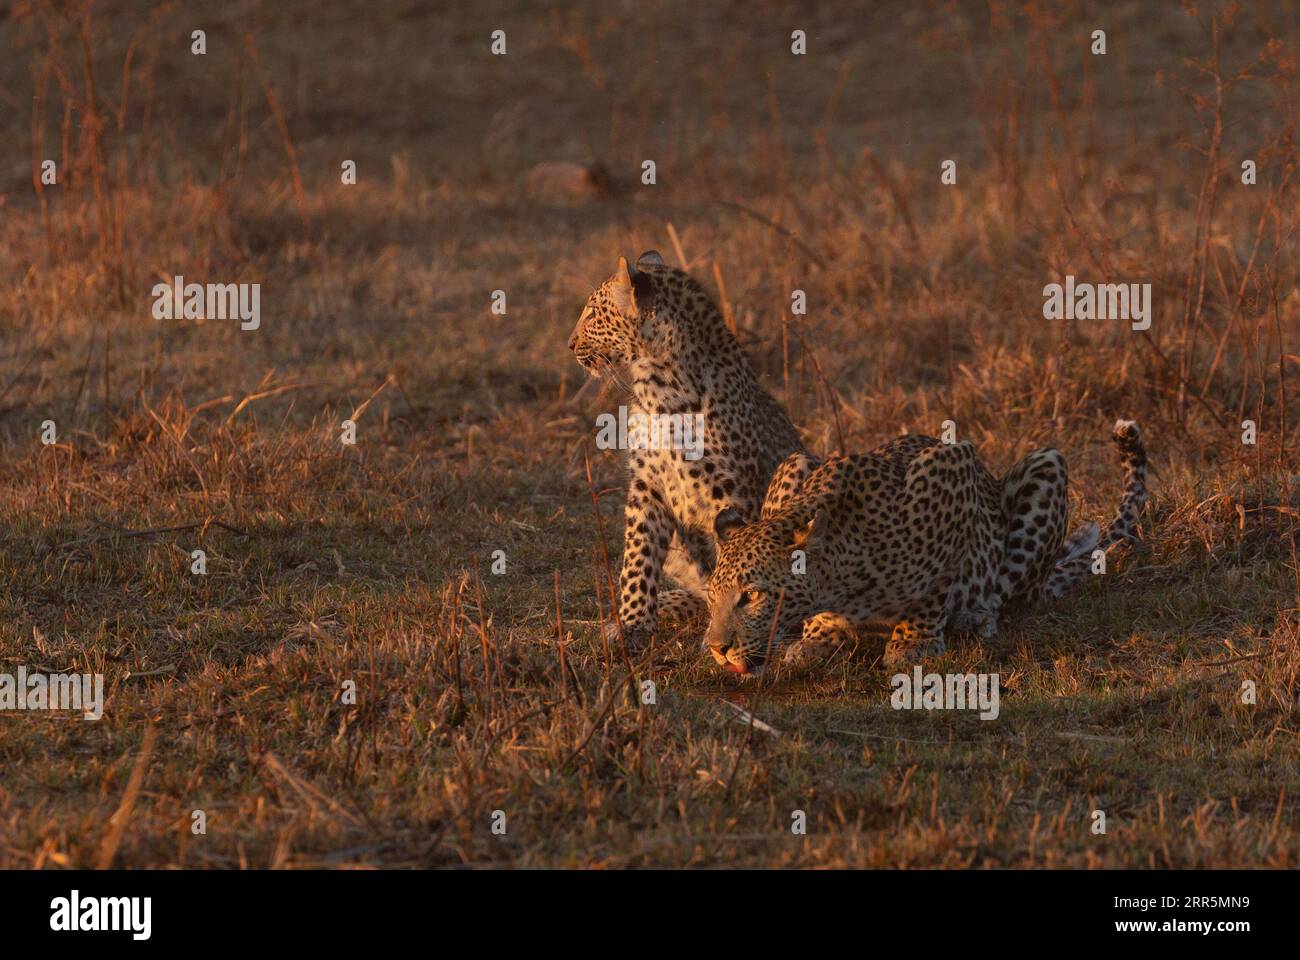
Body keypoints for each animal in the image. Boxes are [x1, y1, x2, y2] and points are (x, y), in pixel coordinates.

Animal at [568, 251, 808, 649]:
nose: (570, 345)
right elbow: (638, 559)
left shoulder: (731, 493)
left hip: (800, 464)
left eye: (592, 314)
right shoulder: (646, 487)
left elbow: (737, 561)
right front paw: (632, 624)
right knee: (698, 590)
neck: (657, 387)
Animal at [704, 420, 1148, 674]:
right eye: (712, 598)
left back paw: (974, 615)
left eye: (751, 596)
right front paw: (817, 636)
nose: (717, 650)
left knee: (1010, 590)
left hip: (1047, 464)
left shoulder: (951, 464)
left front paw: (912, 642)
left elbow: (938, 578)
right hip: (796, 459)